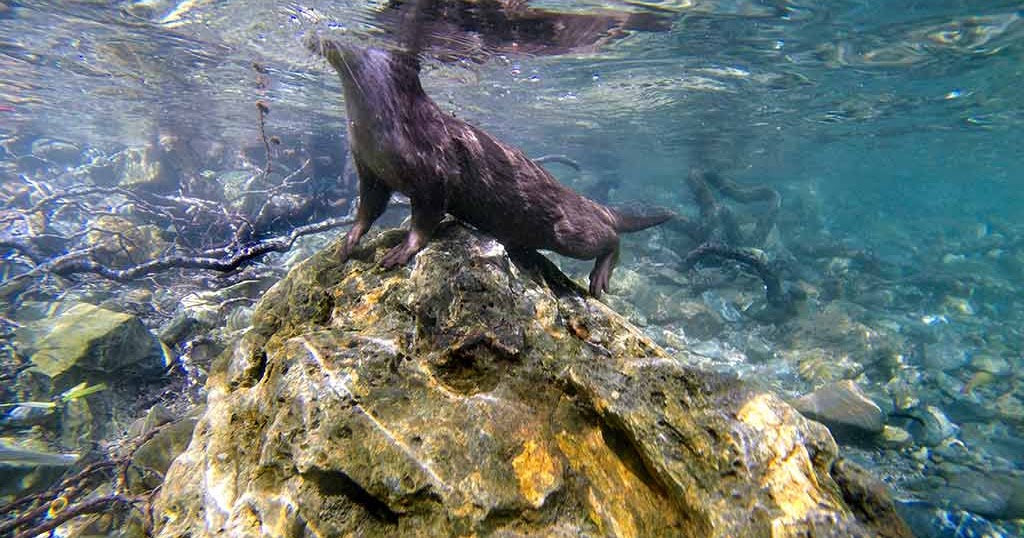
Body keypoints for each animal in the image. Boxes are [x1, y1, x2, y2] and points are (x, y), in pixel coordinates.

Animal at [310, 39, 670, 297]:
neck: (389, 127)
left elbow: (425, 218)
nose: (321, 37)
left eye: (358, 43)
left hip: (569, 230)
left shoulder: (434, 173)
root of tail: (585, 200)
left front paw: (401, 251)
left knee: (610, 236)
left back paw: (599, 278)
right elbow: (368, 209)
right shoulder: (370, 171)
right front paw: (348, 241)